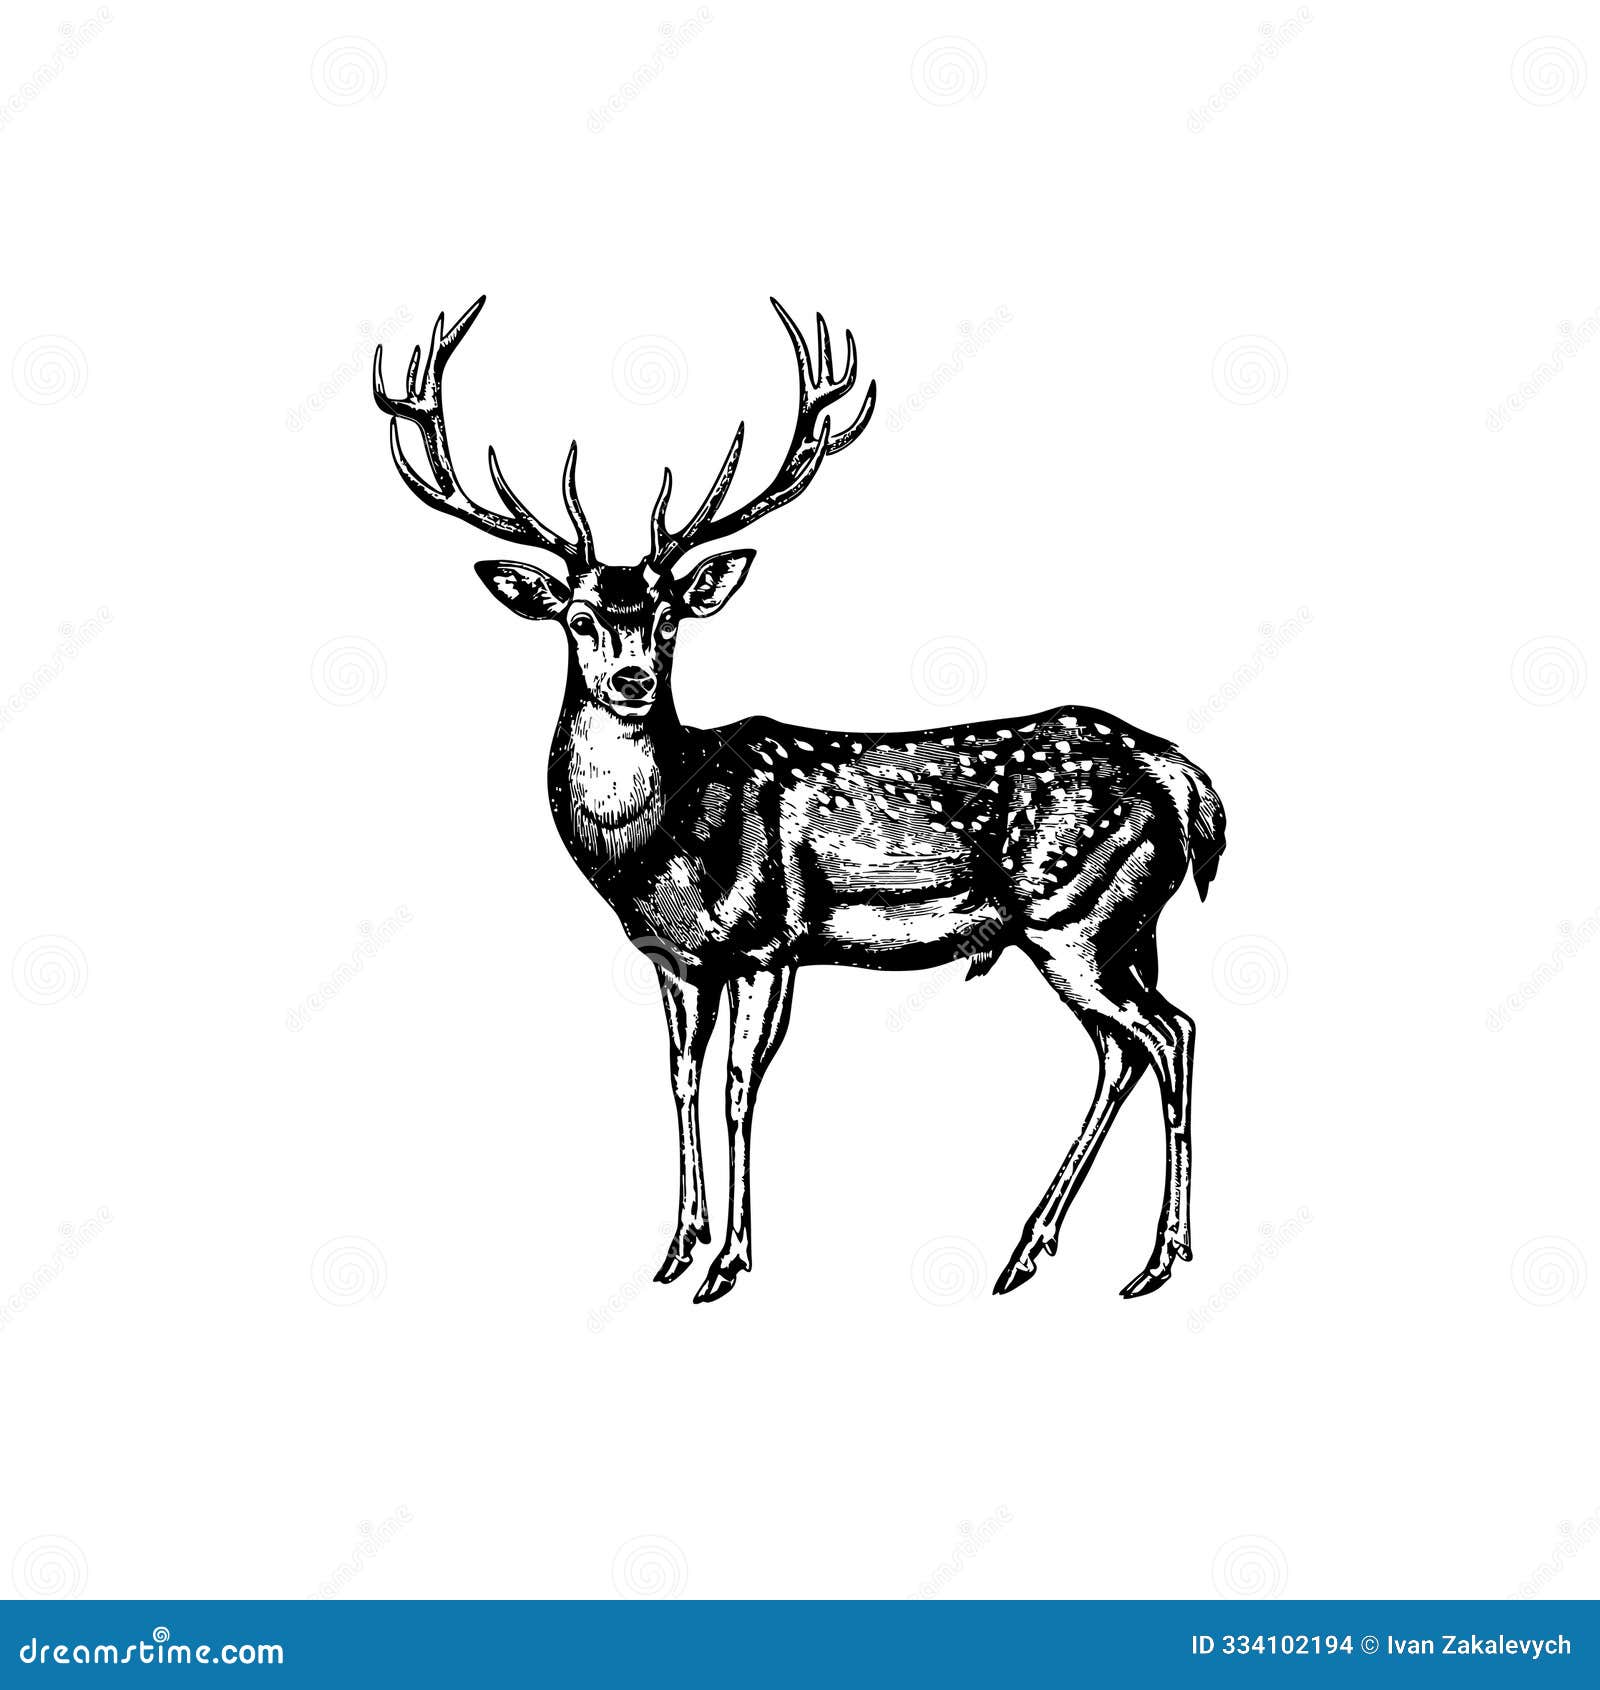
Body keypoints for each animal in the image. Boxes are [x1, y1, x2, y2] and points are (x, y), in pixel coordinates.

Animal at [373, 296, 1226, 1305]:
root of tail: (1185, 781)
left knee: (1165, 1037)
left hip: (1077, 913)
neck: (657, 853)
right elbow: (681, 1078)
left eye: (670, 618)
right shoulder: (673, 959)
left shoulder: (766, 940)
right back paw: (1033, 1252)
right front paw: (676, 1247)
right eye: (578, 618)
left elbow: (741, 1085)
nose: (629, 679)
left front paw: (728, 1262)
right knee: (1133, 1045)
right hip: (1125, 927)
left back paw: (1158, 1260)